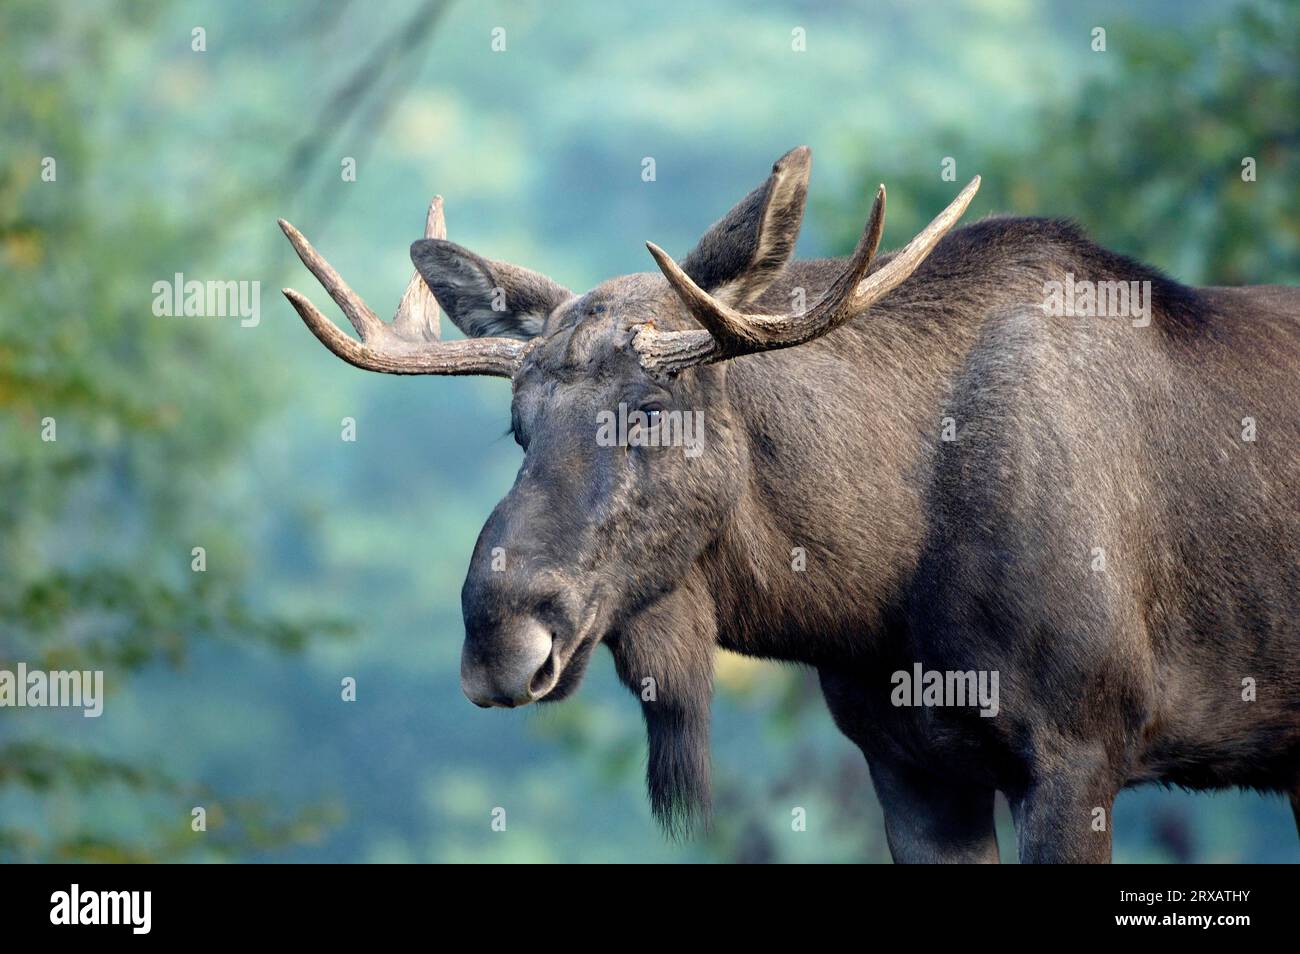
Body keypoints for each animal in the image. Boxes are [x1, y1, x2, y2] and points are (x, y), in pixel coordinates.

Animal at [279, 146, 1300, 862]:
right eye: (518, 428)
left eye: (651, 408)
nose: (497, 637)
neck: (875, 585)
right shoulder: (911, 768)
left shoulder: (1079, 748)